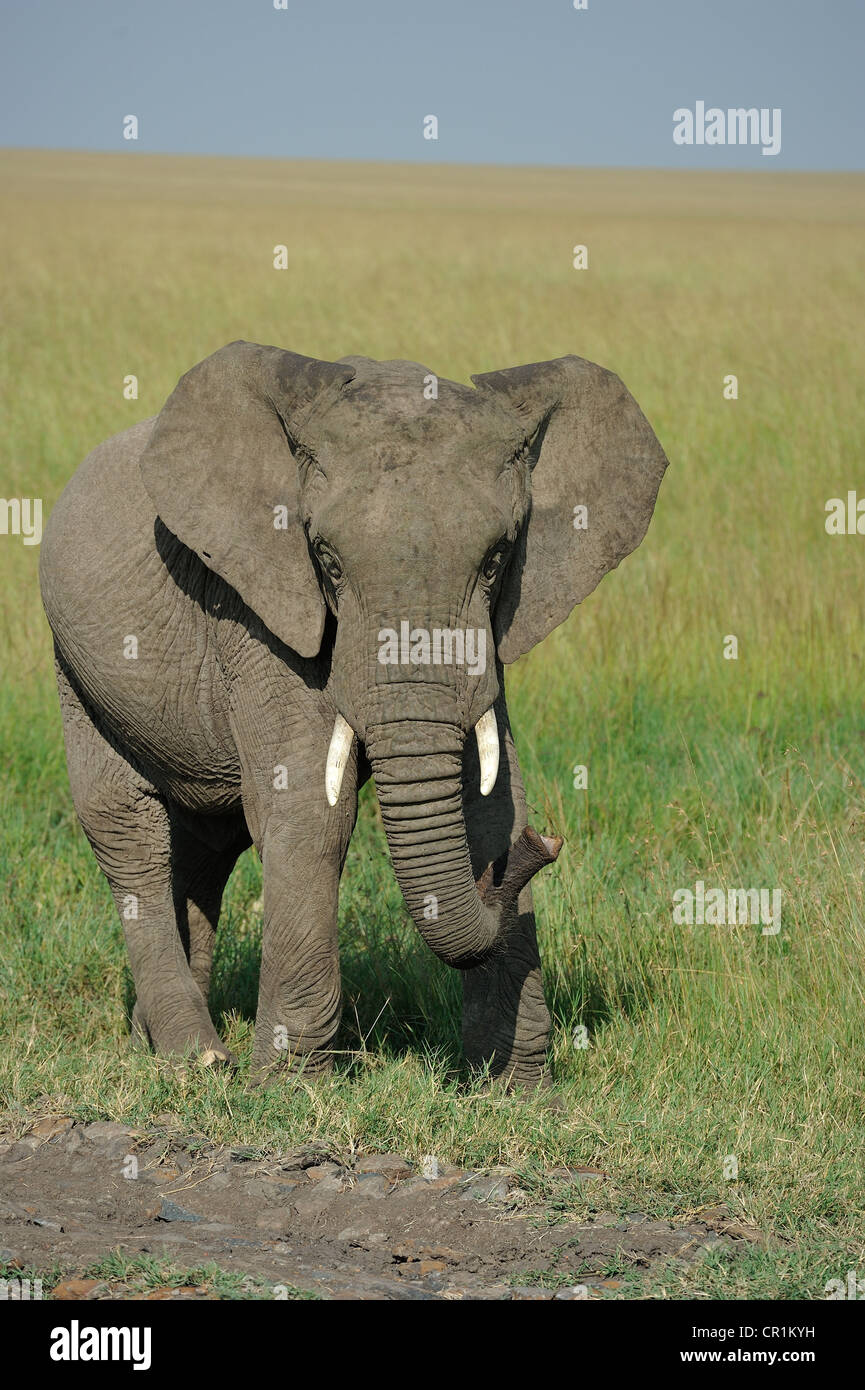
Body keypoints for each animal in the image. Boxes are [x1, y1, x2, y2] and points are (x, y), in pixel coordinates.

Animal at [39, 341, 668, 1090]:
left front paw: (517, 1093)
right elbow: (312, 809)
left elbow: (493, 798)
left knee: (202, 852)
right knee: (127, 832)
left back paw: (158, 1039)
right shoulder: (255, 607)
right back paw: (197, 1057)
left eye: (495, 560)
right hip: (74, 668)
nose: (545, 846)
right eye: (327, 561)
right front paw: (287, 1089)